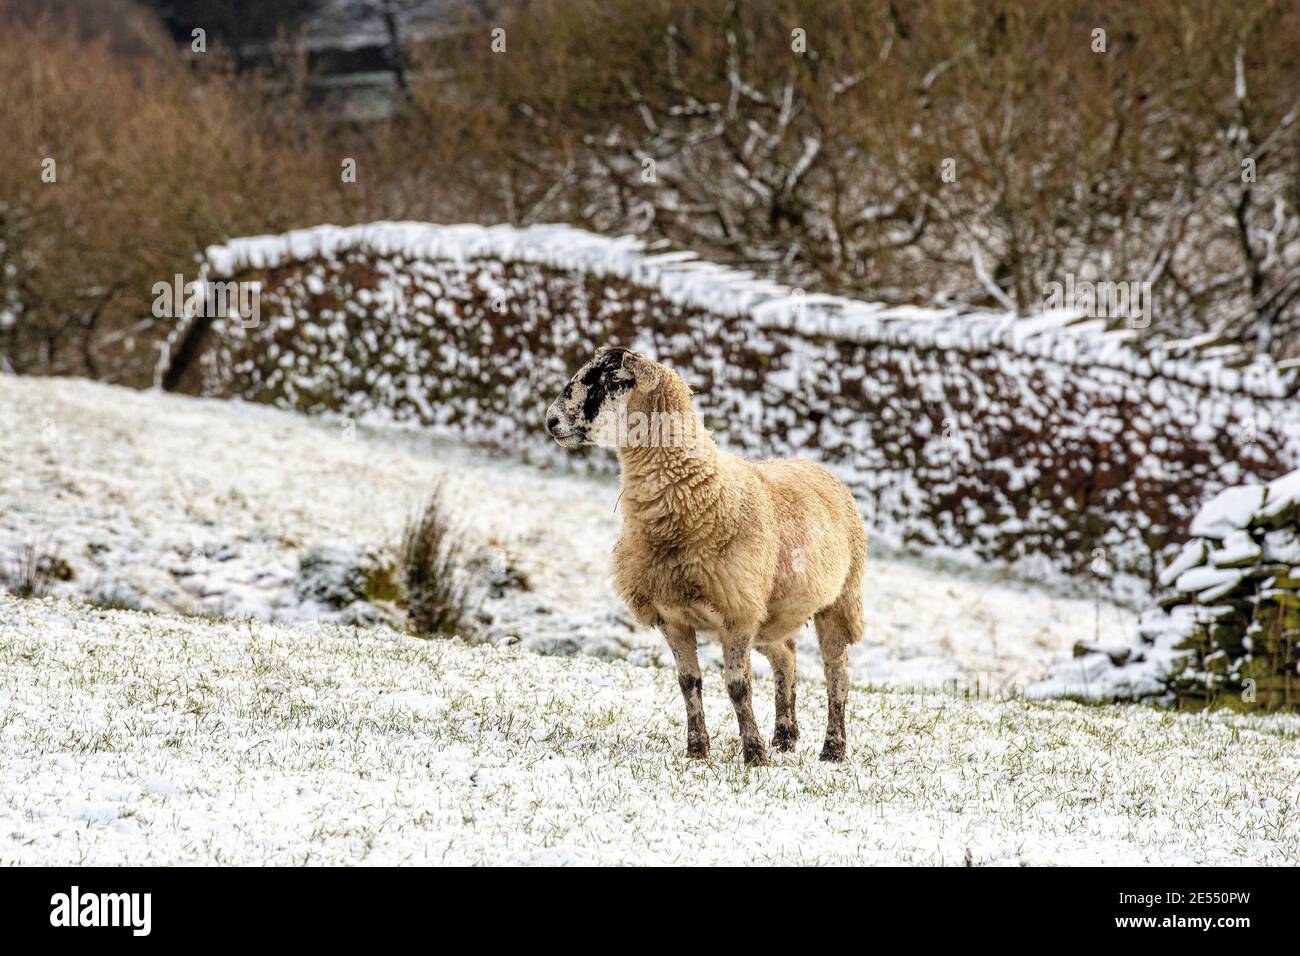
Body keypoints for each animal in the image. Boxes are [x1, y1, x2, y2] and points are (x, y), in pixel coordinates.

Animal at [546, 347, 867, 764]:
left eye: (614, 380)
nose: (551, 420)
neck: (702, 494)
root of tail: (817, 466)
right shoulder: (673, 615)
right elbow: (688, 682)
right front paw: (698, 750)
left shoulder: (737, 614)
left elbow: (737, 686)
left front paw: (753, 754)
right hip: (773, 614)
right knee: (786, 658)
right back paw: (785, 737)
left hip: (839, 599)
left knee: (836, 673)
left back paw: (832, 749)